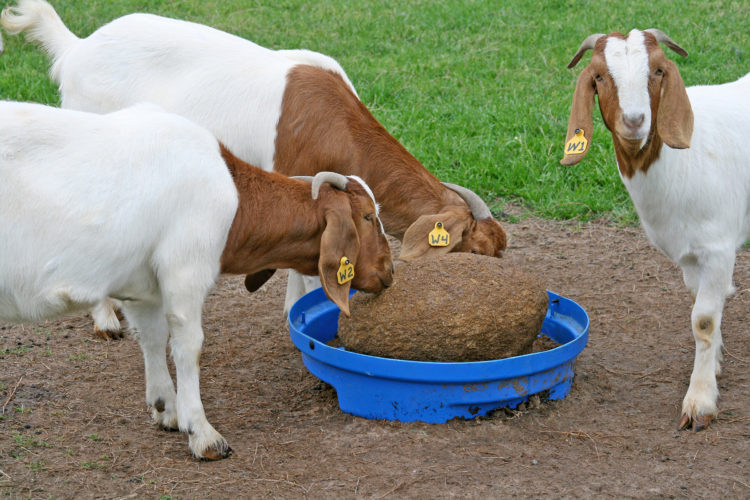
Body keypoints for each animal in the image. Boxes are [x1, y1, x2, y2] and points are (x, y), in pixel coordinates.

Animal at [0, 100, 392, 459]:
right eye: (368, 217)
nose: (389, 270)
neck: (234, 195)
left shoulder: (142, 285)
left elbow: (152, 338)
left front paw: (165, 408)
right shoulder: (185, 270)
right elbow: (190, 347)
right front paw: (202, 433)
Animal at [561, 28, 750, 431]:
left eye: (659, 70)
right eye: (599, 76)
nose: (634, 120)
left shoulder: (719, 246)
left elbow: (703, 320)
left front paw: (699, 401)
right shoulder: (692, 256)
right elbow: (704, 307)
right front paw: (715, 365)